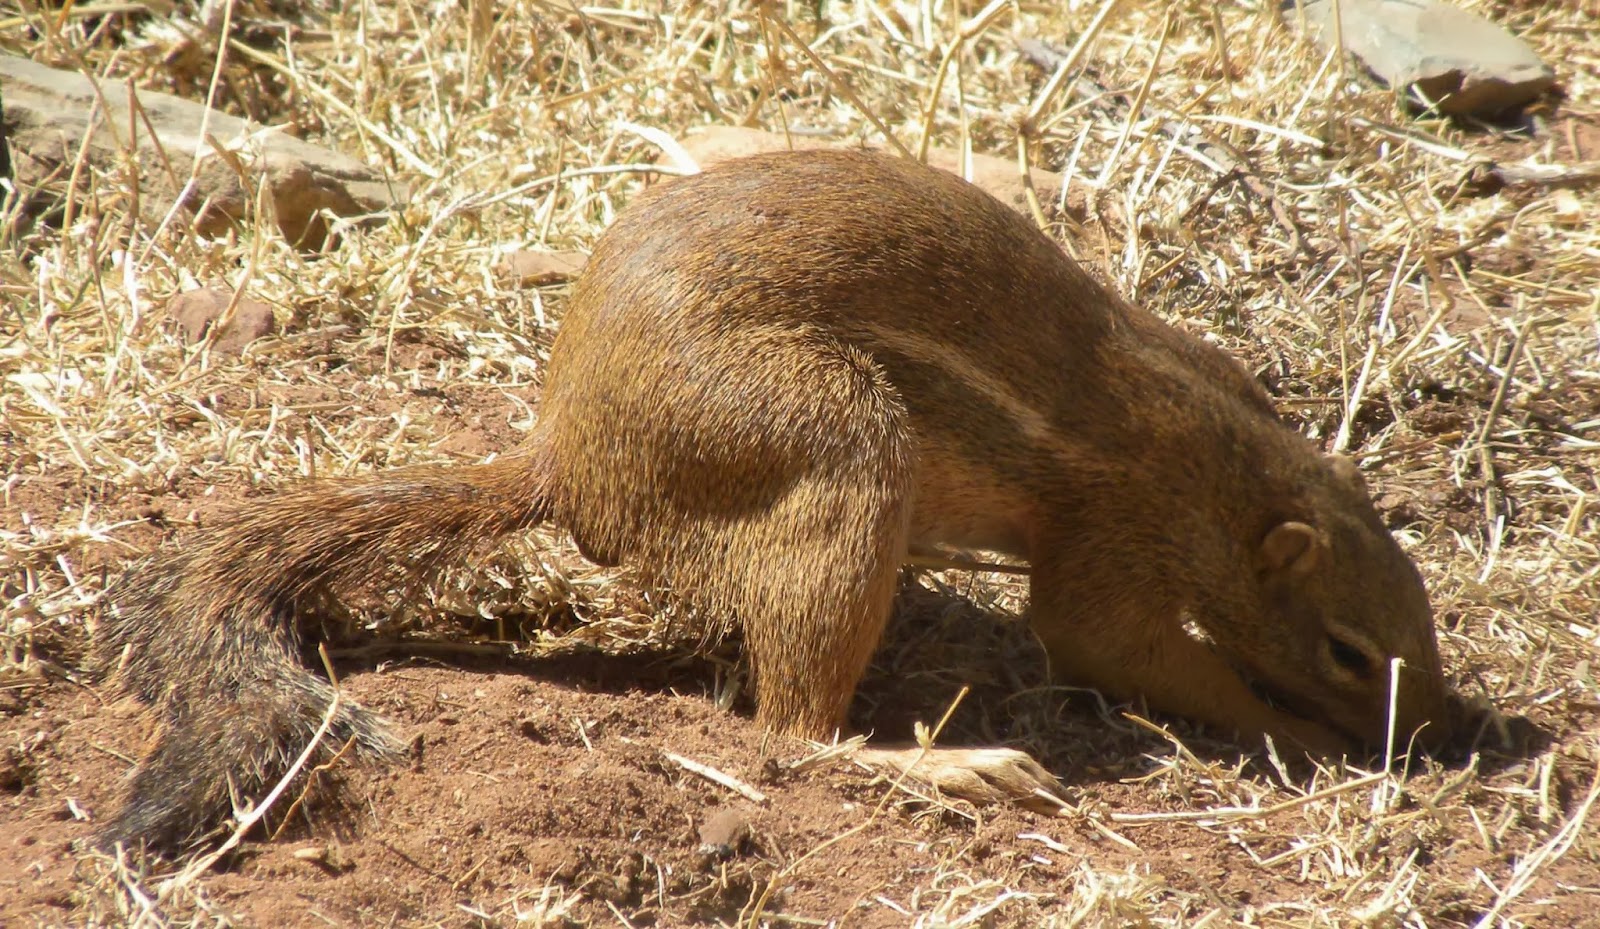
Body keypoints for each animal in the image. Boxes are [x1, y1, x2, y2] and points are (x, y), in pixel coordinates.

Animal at [97, 149, 1453, 853]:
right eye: (1347, 648)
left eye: (1428, 621)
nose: (1436, 735)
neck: (1228, 463)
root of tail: (568, 456)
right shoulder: (1111, 535)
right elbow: (1105, 642)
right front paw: (1301, 736)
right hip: (841, 455)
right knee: (791, 730)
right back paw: (958, 765)